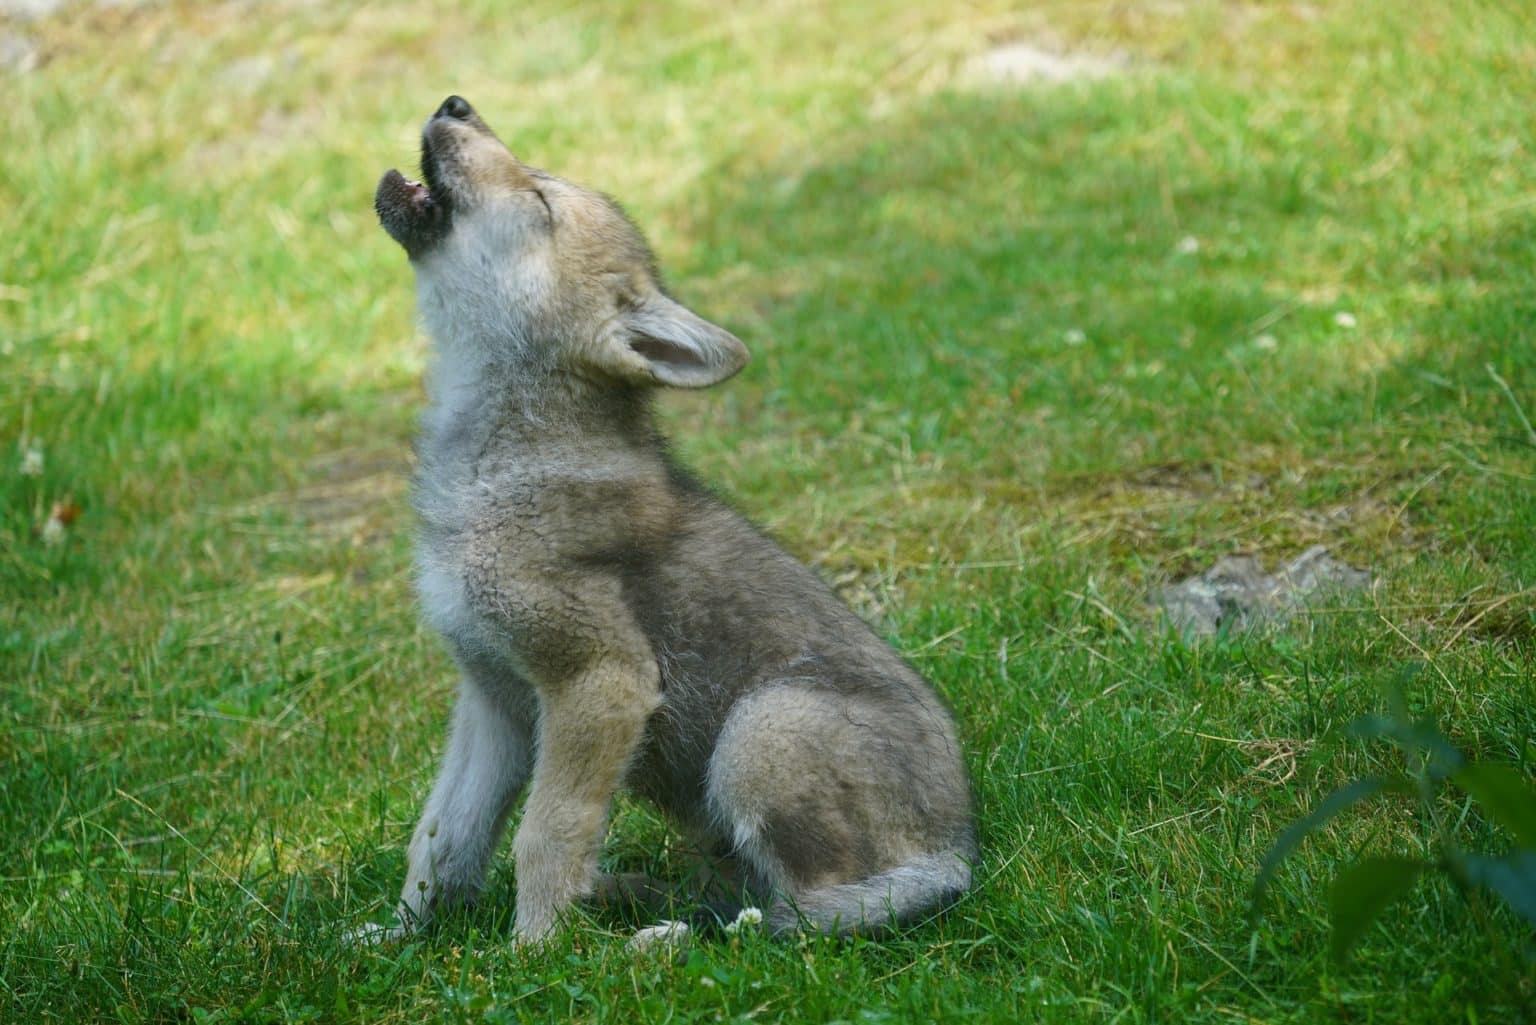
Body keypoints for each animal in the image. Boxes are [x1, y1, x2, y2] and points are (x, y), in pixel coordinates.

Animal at [370, 95, 975, 947]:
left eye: (540, 201)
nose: (456, 103)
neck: (494, 459)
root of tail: (958, 854)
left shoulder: (602, 680)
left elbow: (546, 831)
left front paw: (534, 951)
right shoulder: (493, 700)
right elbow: (441, 840)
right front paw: (398, 941)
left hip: (764, 725)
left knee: (806, 915)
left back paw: (671, 941)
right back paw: (632, 896)